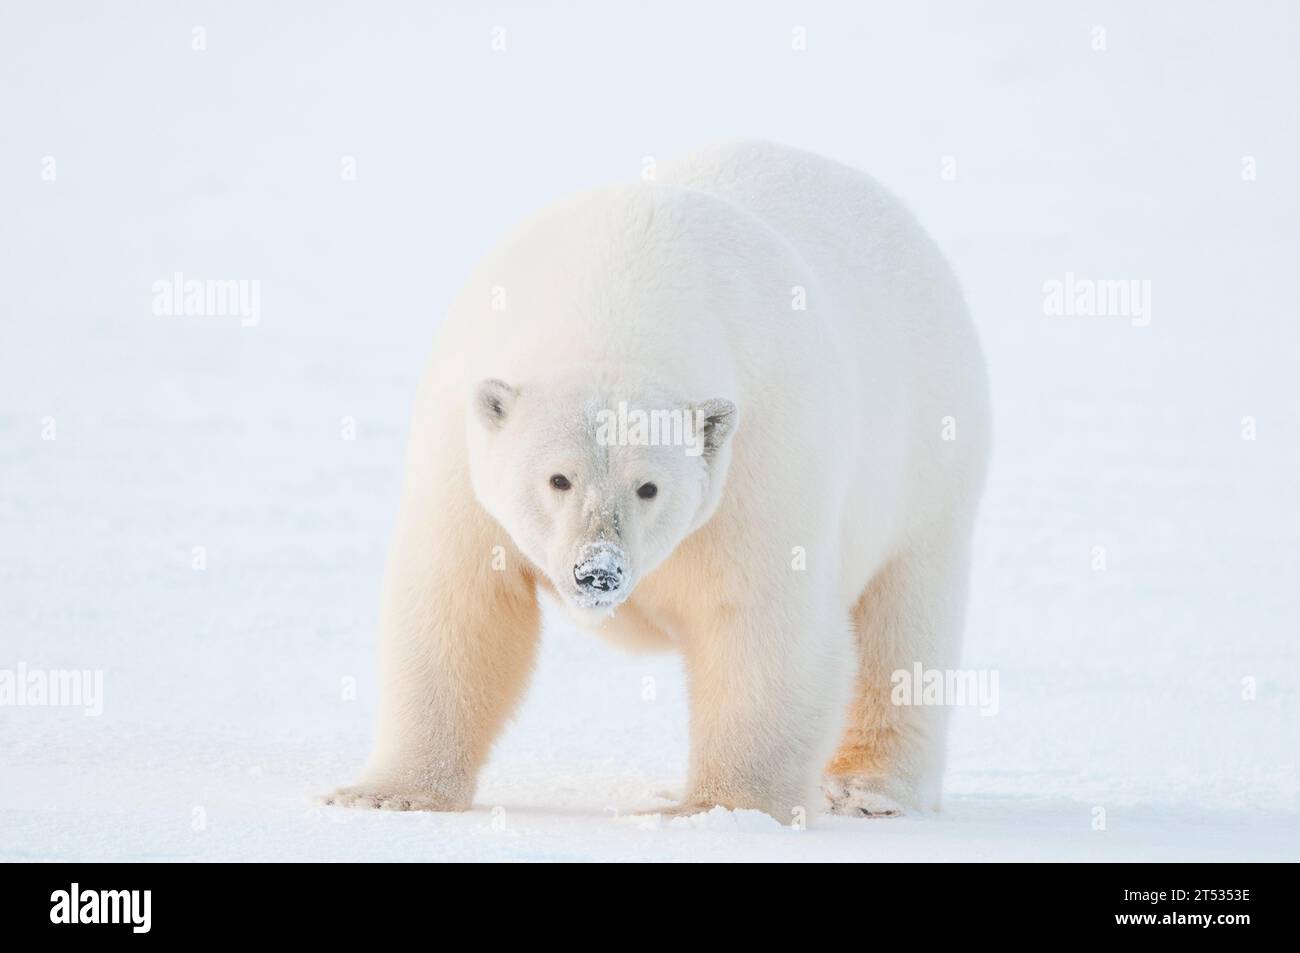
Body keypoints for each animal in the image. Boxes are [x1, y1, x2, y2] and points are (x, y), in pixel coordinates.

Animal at [322, 142, 990, 821]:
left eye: (649, 488)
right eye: (558, 479)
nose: (599, 572)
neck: (621, 289)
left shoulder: (765, 453)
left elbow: (758, 618)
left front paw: (721, 808)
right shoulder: (462, 451)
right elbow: (462, 604)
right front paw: (389, 795)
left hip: (928, 455)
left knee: (903, 624)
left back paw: (866, 790)